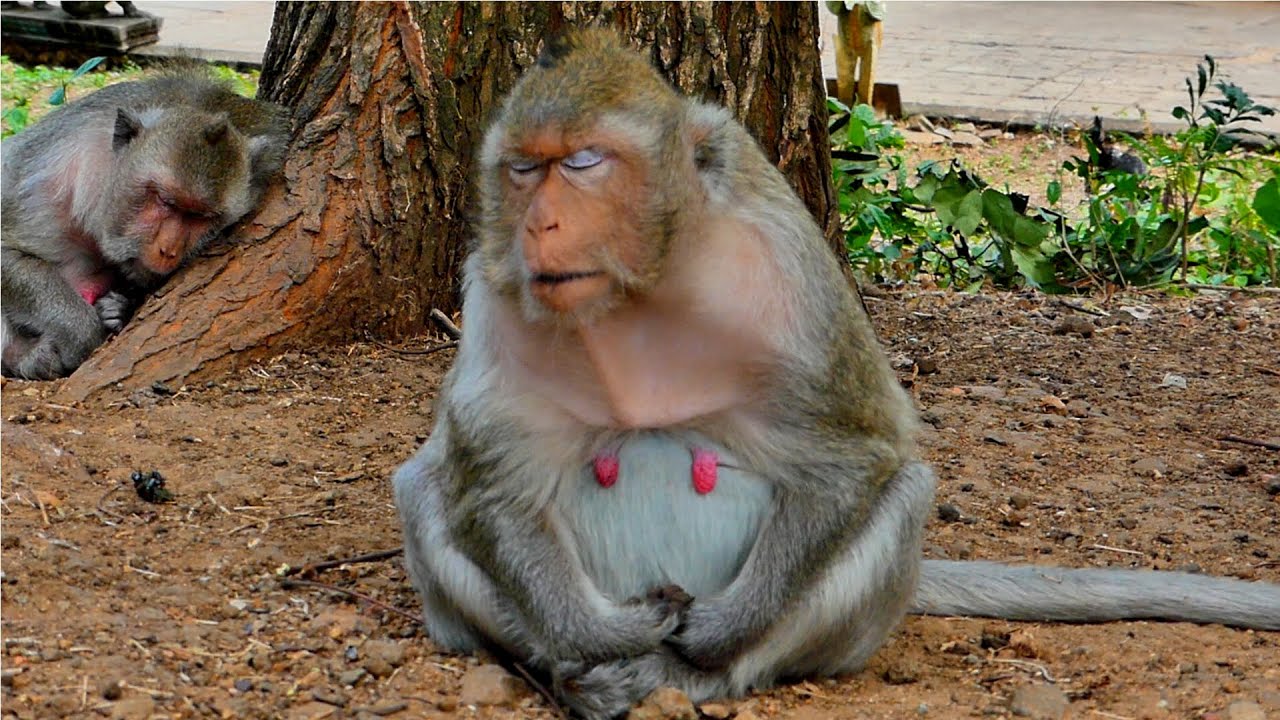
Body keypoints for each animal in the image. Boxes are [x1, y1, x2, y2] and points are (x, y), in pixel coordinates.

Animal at [1, 69, 288, 379]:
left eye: (202, 217)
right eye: (164, 200)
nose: (168, 249)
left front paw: (119, 309)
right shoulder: (43, 194)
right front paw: (79, 333)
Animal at [392, 30, 1280, 719]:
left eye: (581, 163)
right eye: (521, 171)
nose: (540, 224)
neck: (646, 281)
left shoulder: (789, 267)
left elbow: (854, 454)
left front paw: (714, 633)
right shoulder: (494, 295)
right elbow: (492, 491)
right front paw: (609, 632)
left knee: (898, 494)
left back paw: (694, 675)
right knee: (426, 489)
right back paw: (578, 672)